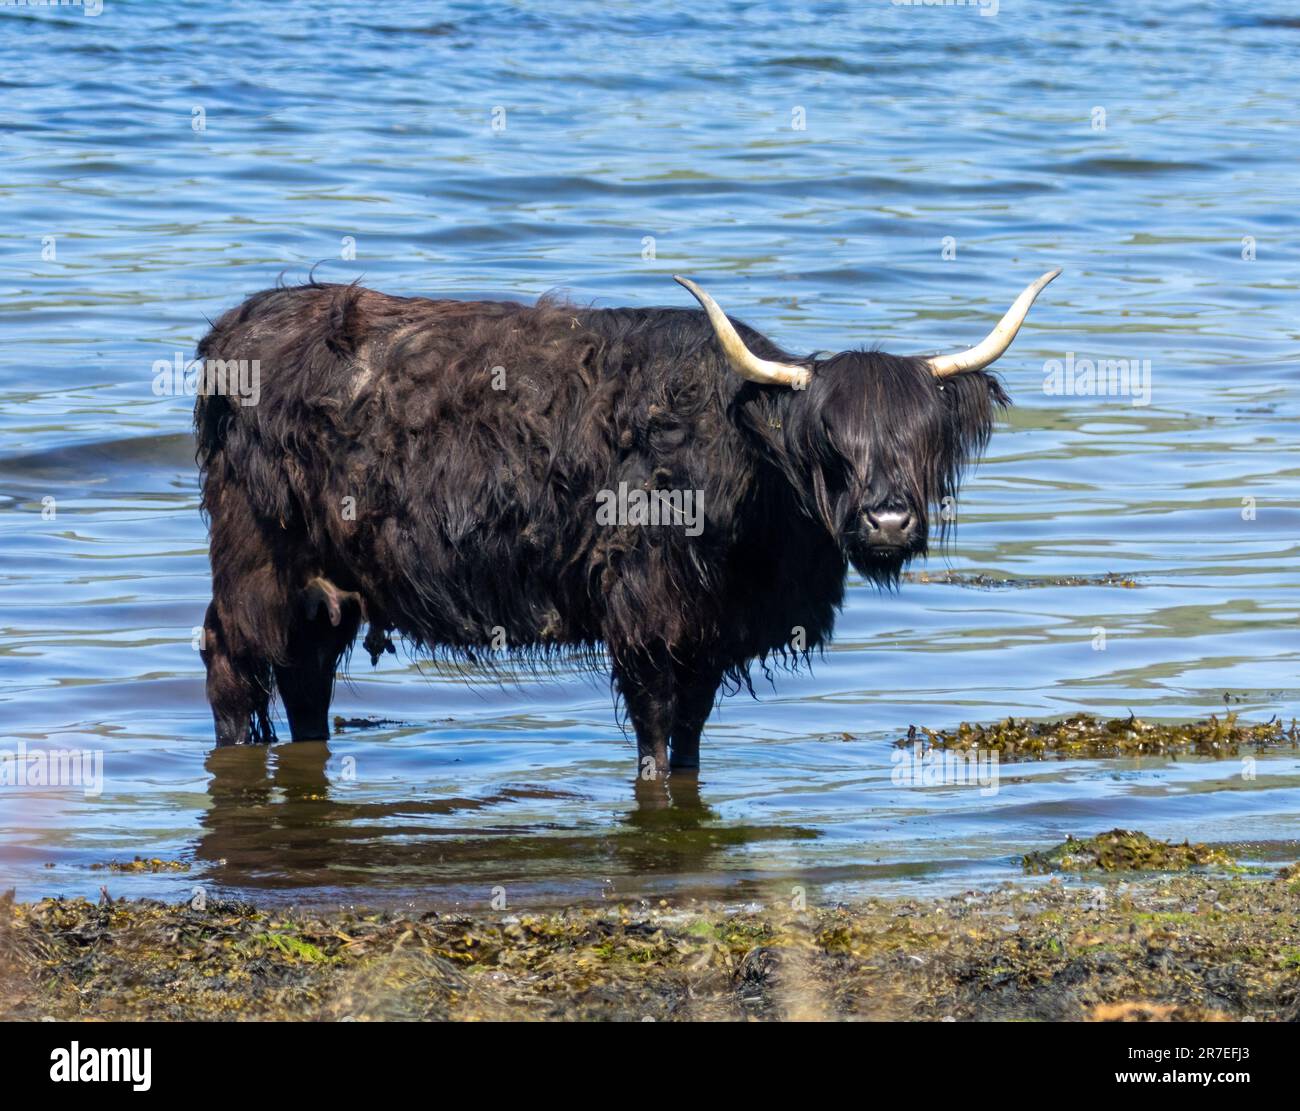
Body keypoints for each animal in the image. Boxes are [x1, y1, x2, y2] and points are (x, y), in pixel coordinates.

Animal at [194, 269, 1059, 776]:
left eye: (922, 439)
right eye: (827, 443)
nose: (887, 519)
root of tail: (237, 327)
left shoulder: (714, 631)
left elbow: (692, 733)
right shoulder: (645, 613)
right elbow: (654, 726)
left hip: (327, 582)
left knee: (305, 674)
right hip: (256, 560)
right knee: (234, 661)